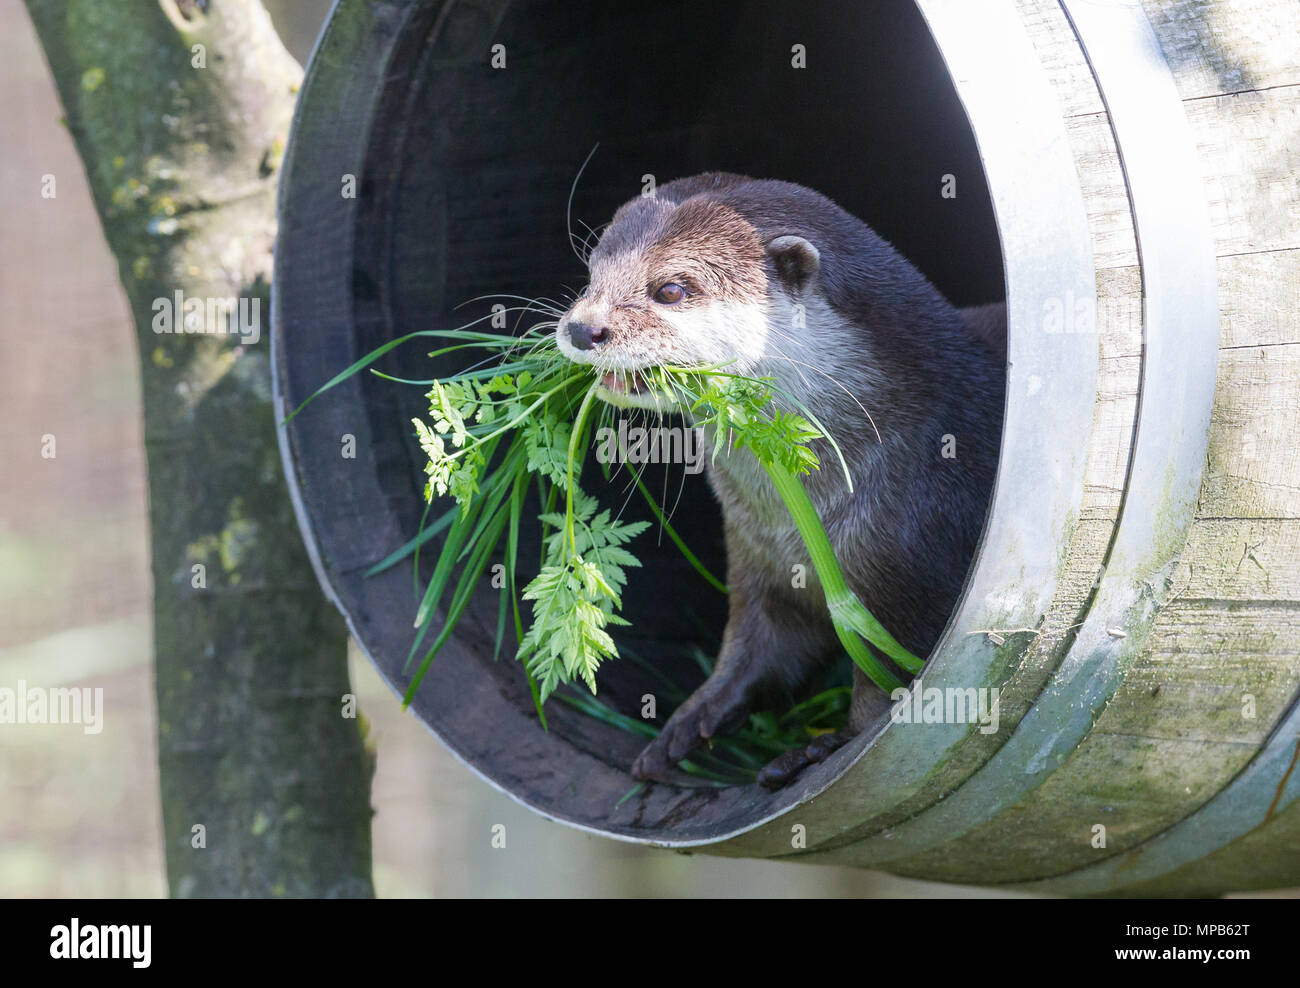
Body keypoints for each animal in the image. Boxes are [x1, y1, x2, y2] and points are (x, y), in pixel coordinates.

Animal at [555, 173, 1003, 789]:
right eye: (592, 272)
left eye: (670, 289)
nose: (583, 327)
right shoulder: (757, 559)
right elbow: (757, 646)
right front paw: (691, 718)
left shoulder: (912, 572)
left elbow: (885, 691)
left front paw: (822, 749)